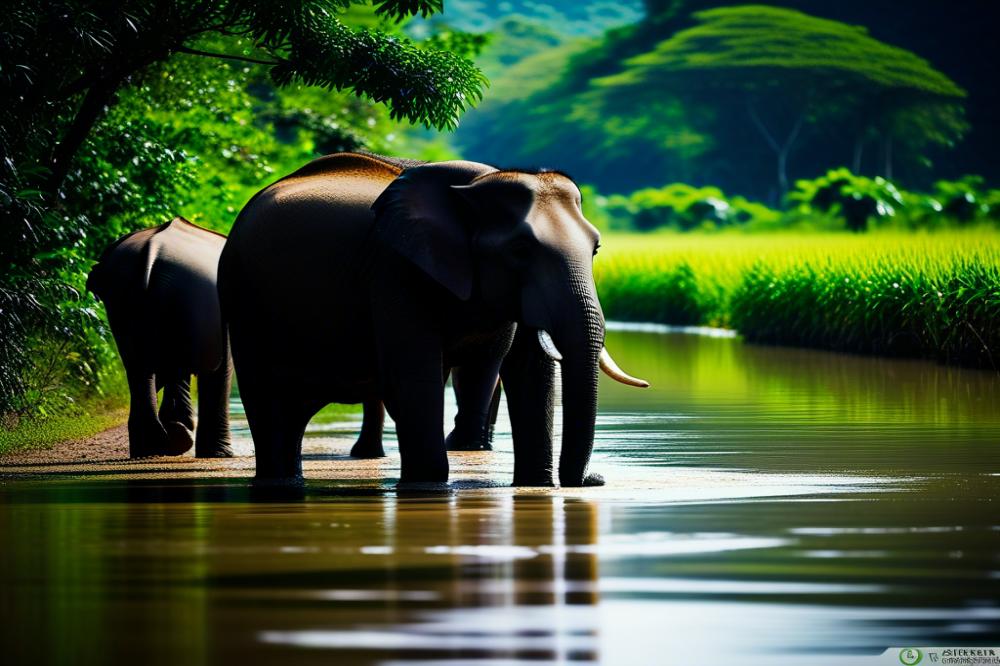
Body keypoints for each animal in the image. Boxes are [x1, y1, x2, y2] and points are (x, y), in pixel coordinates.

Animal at [218, 152, 648, 487]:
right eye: (520, 249)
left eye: (596, 248)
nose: (595, 479)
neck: (477, 184)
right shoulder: (394, 268)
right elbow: (412, 377)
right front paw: (428, 486)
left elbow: (532, 374)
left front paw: (535, 486)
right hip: (242, 297)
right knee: (270, 404)